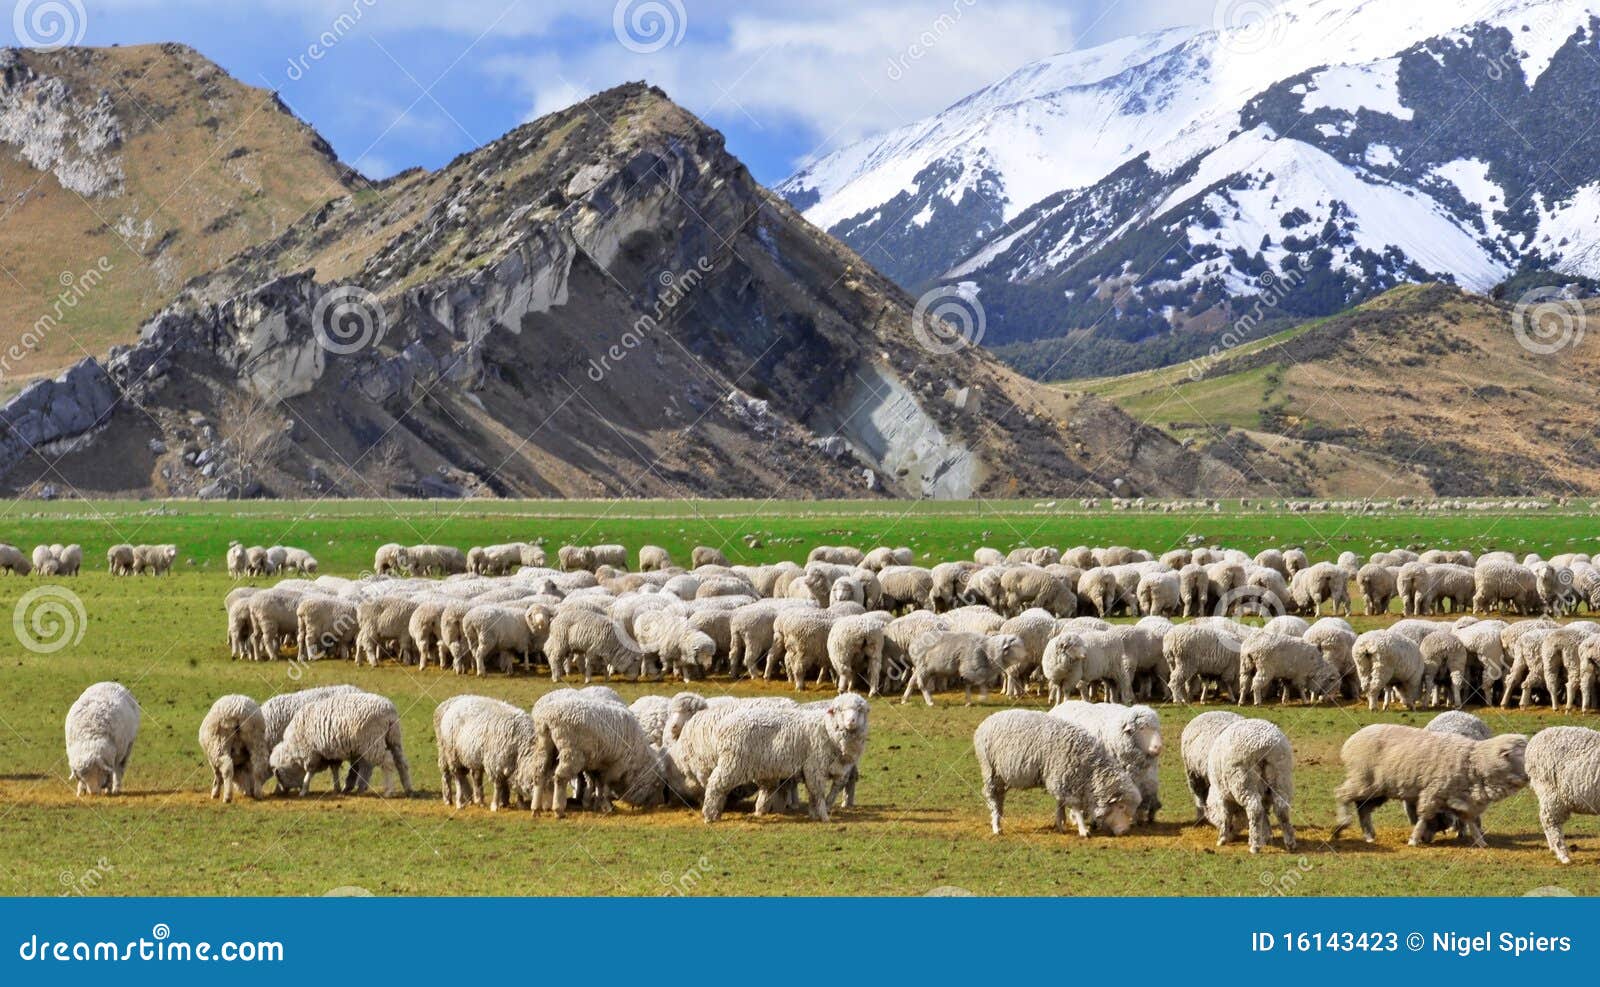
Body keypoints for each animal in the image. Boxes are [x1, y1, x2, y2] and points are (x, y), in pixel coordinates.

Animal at [269, 692, 413, 797]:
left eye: (279, 777)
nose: (281, 793)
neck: (292, 747)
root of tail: (389, 711)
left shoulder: (310, 753)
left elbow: (309, 772)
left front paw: (304, 790)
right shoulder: (329, 754)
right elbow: (334, 769)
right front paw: (337, 788)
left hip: (373, 743)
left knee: (388, 762)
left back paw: (389, 791)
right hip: (394, 739)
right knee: (401, 763)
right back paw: (408, 789)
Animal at [527, 690, 670, 816]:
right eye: (658, 785)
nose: (660, 803)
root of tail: (547, 718)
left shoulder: (596, 764)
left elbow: (596, 783)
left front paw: (595, 803)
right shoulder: (615, 766)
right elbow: (605, 786)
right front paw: (607, 805)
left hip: (545, 745)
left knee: (539, 772)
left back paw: (535, 809)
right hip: (571, 752)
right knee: (560, 777)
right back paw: (558, 810)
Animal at [973, 709, 1141, 836]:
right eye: (1121, 807)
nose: (1125, 831)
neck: (1090, 768)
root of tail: (984, 723)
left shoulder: (1061, 779)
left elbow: (1060, 803)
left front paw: (1060, 824)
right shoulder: (1064, 777)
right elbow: (1075, 807)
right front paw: (1083, 830)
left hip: (1000, 775)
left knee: (999, 797)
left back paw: (999, 820)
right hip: (990, 769)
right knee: (993, 797)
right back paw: (996, 826)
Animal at [1203, 718, 1296, 853]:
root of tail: (1264, 744)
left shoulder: (1224, 796)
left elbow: (1226, 816)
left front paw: (1222, 839)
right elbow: (1264, 815)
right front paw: (1266, 837)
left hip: (1243, 779)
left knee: (1254, 809)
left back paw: (1254, 846)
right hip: (1281, 776)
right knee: (1281, 808)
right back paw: (1290, 843)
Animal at [1331, 724, 1528, 847]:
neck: (1473, 762)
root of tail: (1351, 741)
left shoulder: (1464, 801)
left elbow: (1471, 823)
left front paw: (1481, 843)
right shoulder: (1432, 793)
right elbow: (1424, 818)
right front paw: (1414, 840)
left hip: (1377, 789)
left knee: (1363, 809)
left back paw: (1369, 836)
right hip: (1363, 779)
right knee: (1341, 794)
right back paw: (1342, 824)